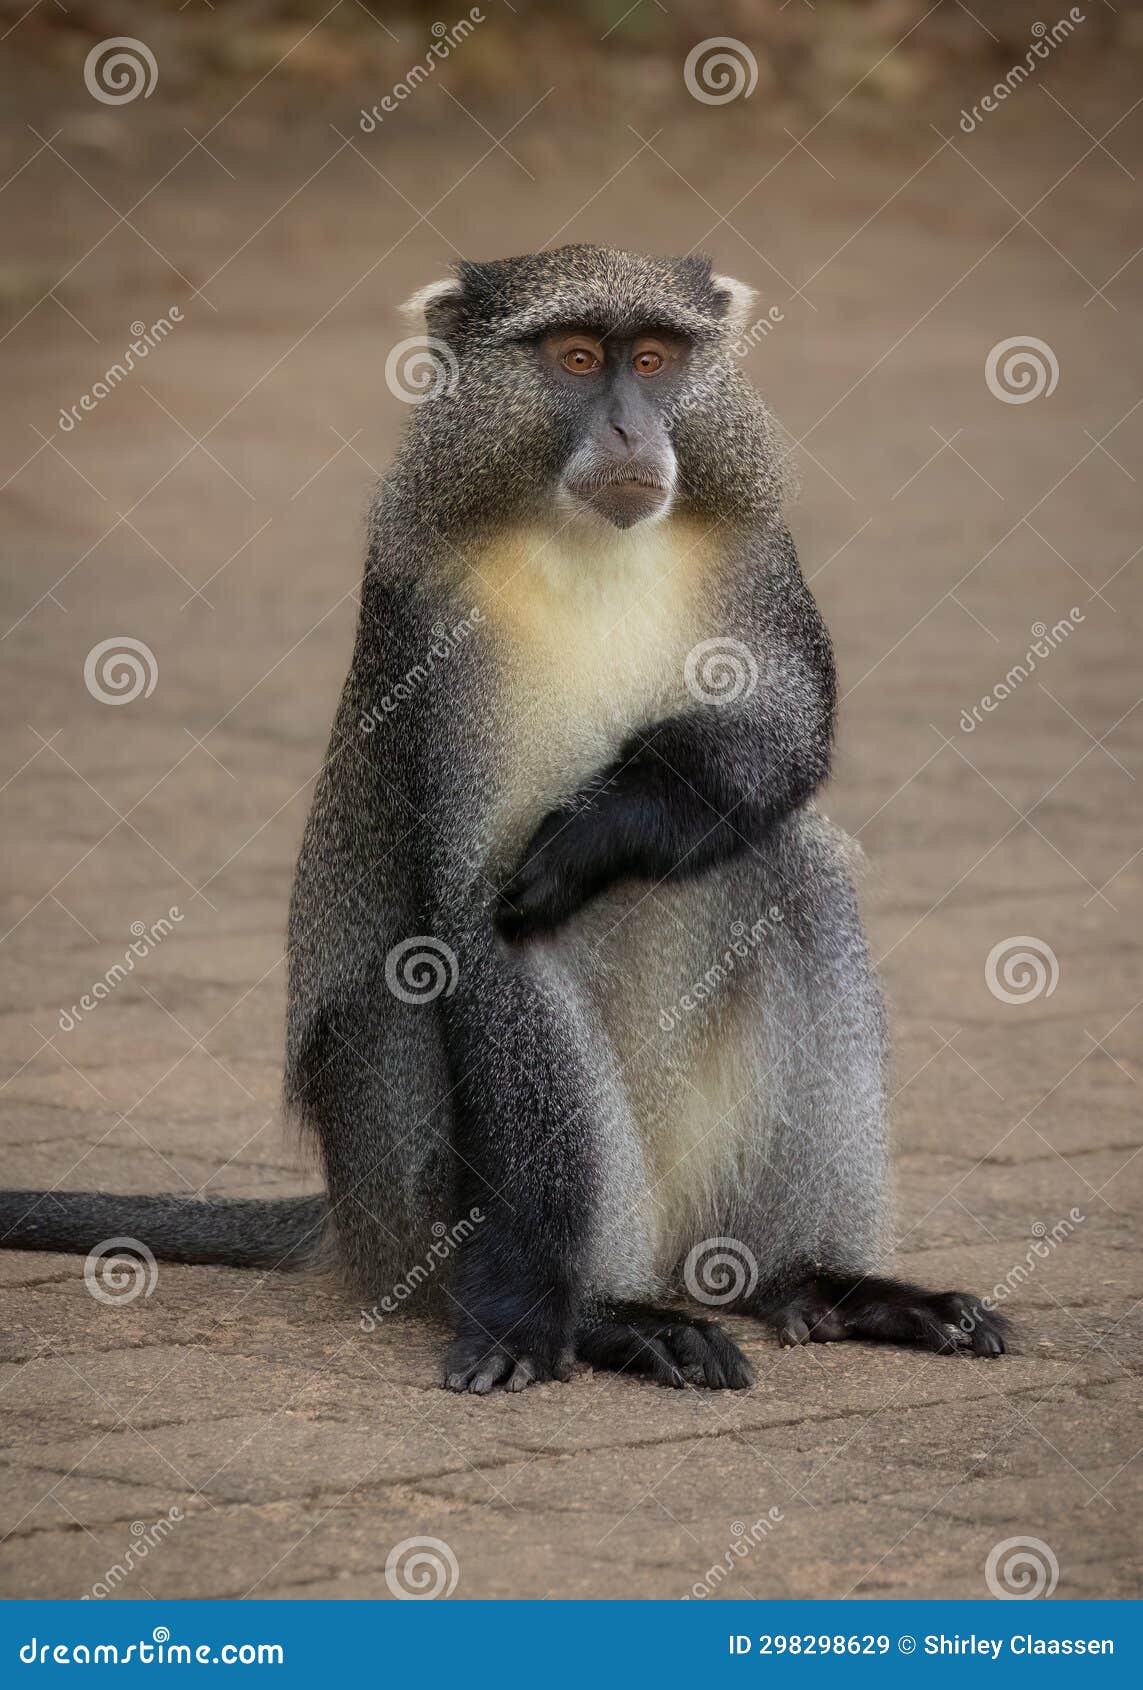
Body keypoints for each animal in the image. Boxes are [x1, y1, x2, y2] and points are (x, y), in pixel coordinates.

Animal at [0, 246, 1007, 1392]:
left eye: (653, 358)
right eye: (573, 357)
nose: (630, 430)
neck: (589, 548)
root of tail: (352, 1220)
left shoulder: (757, 554)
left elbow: (786, 733)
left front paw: (596, 834)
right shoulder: (427, 612)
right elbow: (474, 919)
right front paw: (531, 1311)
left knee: (790, 861)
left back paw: (818, 1281)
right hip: (402, 1190)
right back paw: (611, 1311)